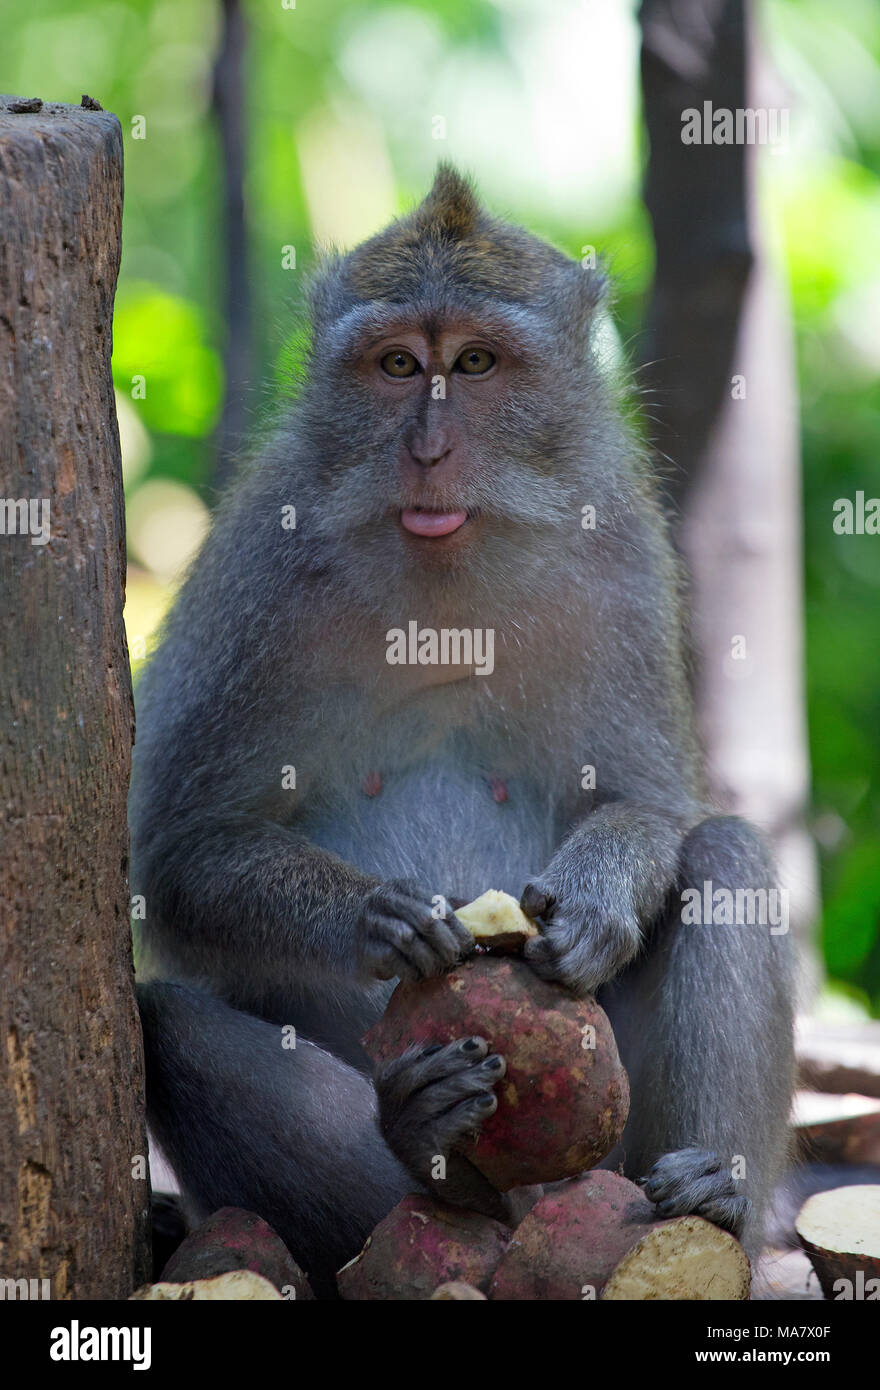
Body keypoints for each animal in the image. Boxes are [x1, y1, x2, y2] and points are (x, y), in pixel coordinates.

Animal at [131, 165, 794, 1297]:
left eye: (476, 363)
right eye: (398, 364)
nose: (429, 450)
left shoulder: (618, 554)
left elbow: (651, 803)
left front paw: (599, 897)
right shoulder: (262, 561)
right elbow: (179, 849)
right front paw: (374, 917)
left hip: (614, 1163)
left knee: (728, 853)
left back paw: (714, 1199)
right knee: (172, 1026)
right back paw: (426, 1146)